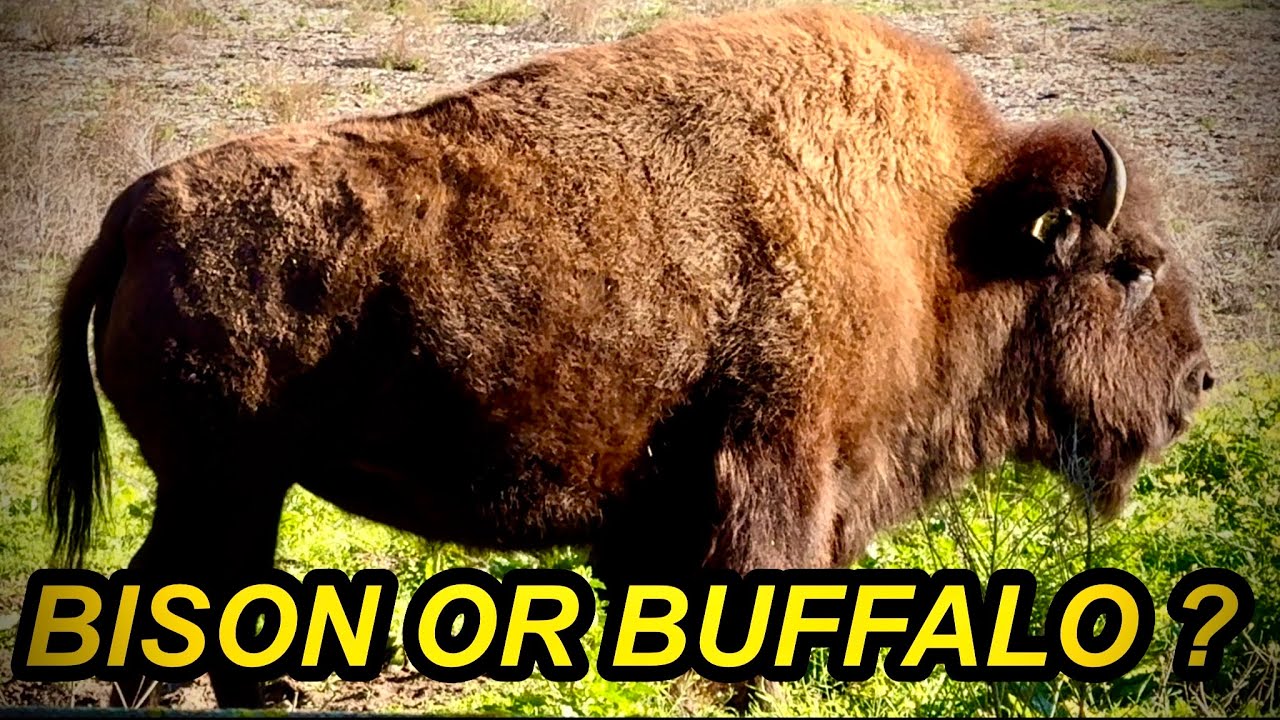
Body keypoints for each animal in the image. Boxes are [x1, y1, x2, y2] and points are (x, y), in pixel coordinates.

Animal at [45, 5, 1211, 707]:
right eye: (1131, 266)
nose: (1199, 379)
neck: (942, 238)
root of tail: (135, 210)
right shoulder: (781, 469)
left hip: (227, 488)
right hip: (225, 485)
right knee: (182, 595)